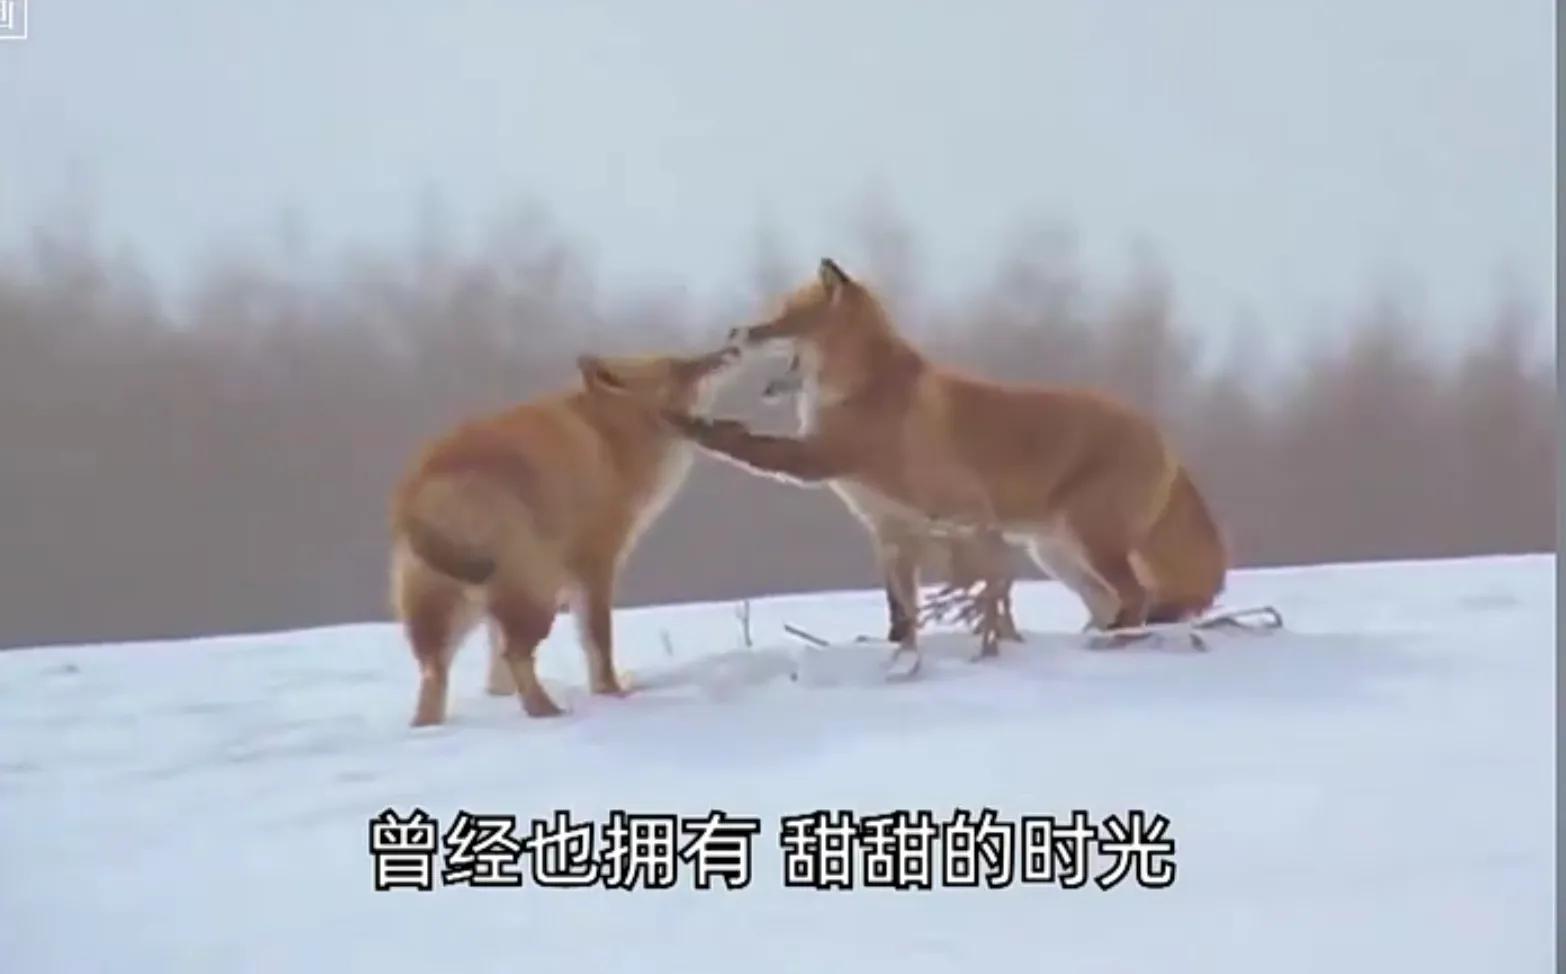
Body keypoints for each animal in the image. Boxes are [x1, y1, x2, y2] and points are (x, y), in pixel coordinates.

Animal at [389, 346, 738, 726]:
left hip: (449, 612)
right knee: (515, 653)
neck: (613, 440)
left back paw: (429, 728)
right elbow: (599, 644)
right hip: (535, 596)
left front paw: (497, 698)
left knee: (435, 673)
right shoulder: (596, 566)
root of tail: (421, 489)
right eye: (679, 367)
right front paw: (612, 694)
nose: (731, 349)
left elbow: (496, 673)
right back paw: (547, 712)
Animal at [664, 258, 1226, 663]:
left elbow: (752, 447)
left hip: (1090, 541)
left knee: (1137, 598)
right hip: (1060, 555)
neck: (862, 388)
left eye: (782, 314)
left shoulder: (833, 462)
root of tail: (1162, 436)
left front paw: (693, 425)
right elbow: (902, 615)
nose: (734, 331)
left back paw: (1111, 645)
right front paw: (901, 657)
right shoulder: (892, 532)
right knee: (1119, 601)